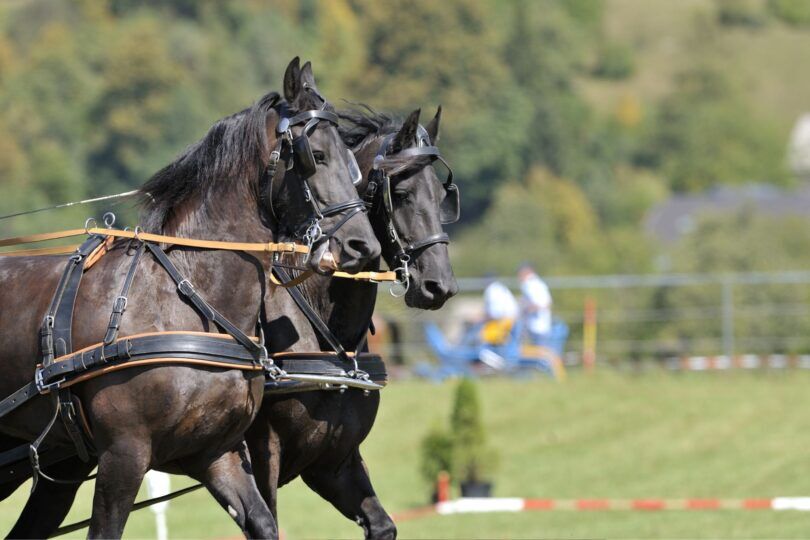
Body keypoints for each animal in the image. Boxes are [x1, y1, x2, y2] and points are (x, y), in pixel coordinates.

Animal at [0, 57, 380, 539]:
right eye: (318, 156)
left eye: (354, 163)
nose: (363, 246)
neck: (183, 299)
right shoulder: (124, 455)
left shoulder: (216, 453)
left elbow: (263, 523)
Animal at [246, 105, 458, 539]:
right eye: (403, 194)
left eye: (443, 196)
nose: (438, 285)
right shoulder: (260, 458)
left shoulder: (334, 464)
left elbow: (382, 525)